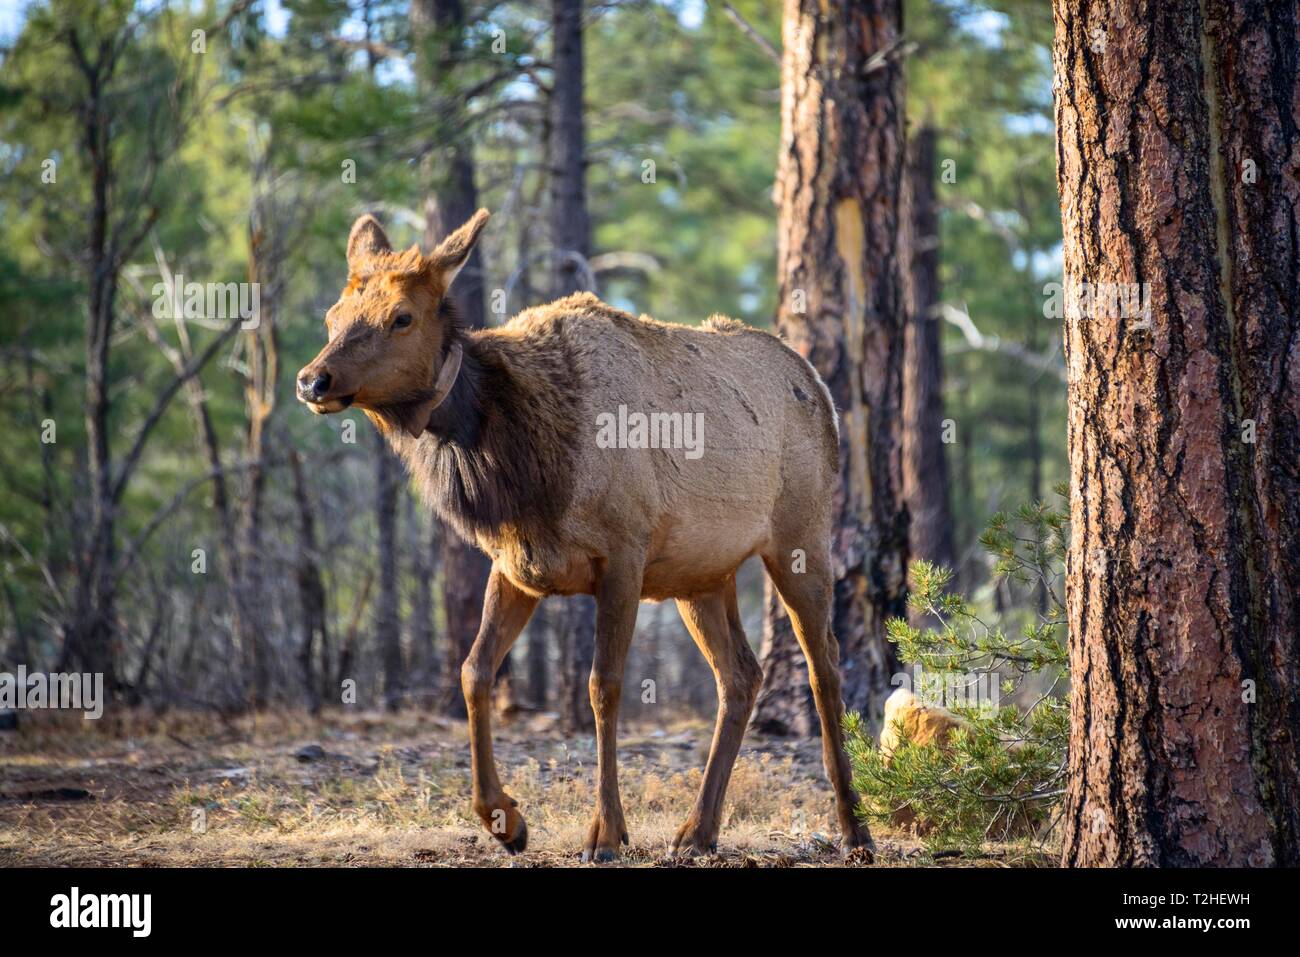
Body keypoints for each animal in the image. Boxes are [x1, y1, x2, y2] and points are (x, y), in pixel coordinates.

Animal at [296, 209, 874, 862]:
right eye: (333, 315)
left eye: (401, 317)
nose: (313, 380)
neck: (523, 467)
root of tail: (819, 387)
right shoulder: (517, 565)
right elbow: (474, 670)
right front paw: (505, 820)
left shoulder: (623, 553)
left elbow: (604, 687)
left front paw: (605, 832)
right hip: (702, 573)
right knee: (741, 676)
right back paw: (698, 831)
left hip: (801, 535)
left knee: (824, 665)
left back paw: (854, 828)